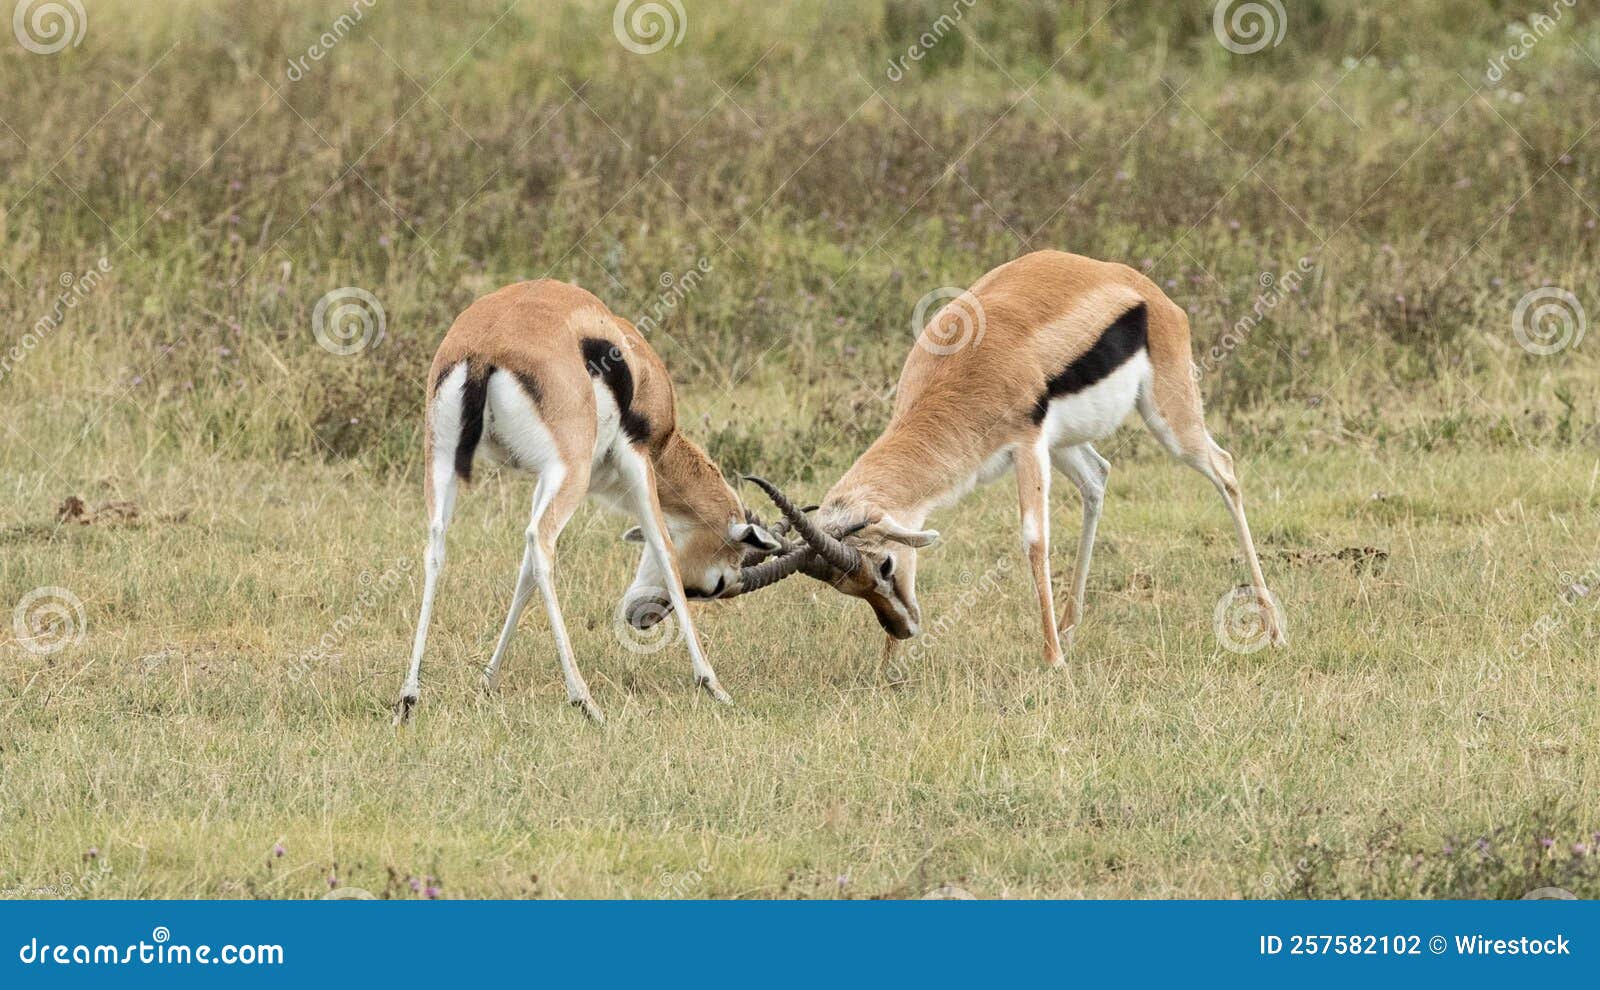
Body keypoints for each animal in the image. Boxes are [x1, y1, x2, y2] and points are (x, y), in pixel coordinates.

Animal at [394, 279, 787, 725]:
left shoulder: (541, 479)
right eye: (718, 584)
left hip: (443, 461)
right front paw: (713, 685)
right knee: (541, 541)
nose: (644, 620)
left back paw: (408, 698)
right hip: (571, 471)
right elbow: (665, 549)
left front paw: (487, 681)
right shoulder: (637, 458)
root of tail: (484, 347)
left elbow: (523, 575)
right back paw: (584, 700)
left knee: (438, 547)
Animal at [744, 250, 1287, 664]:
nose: (903, 629)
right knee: (1098, 478)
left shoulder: (1026, 446)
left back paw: (1274, 630)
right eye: (847, 586)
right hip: (1065, 444)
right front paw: (886, 667)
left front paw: (1053, 662)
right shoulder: (1033, 447)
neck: (966, 369)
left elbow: (1034, 541)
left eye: (885, 567)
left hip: (1168, 420)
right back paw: (1070, 627)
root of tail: (1145, 288)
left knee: (1225, 469)